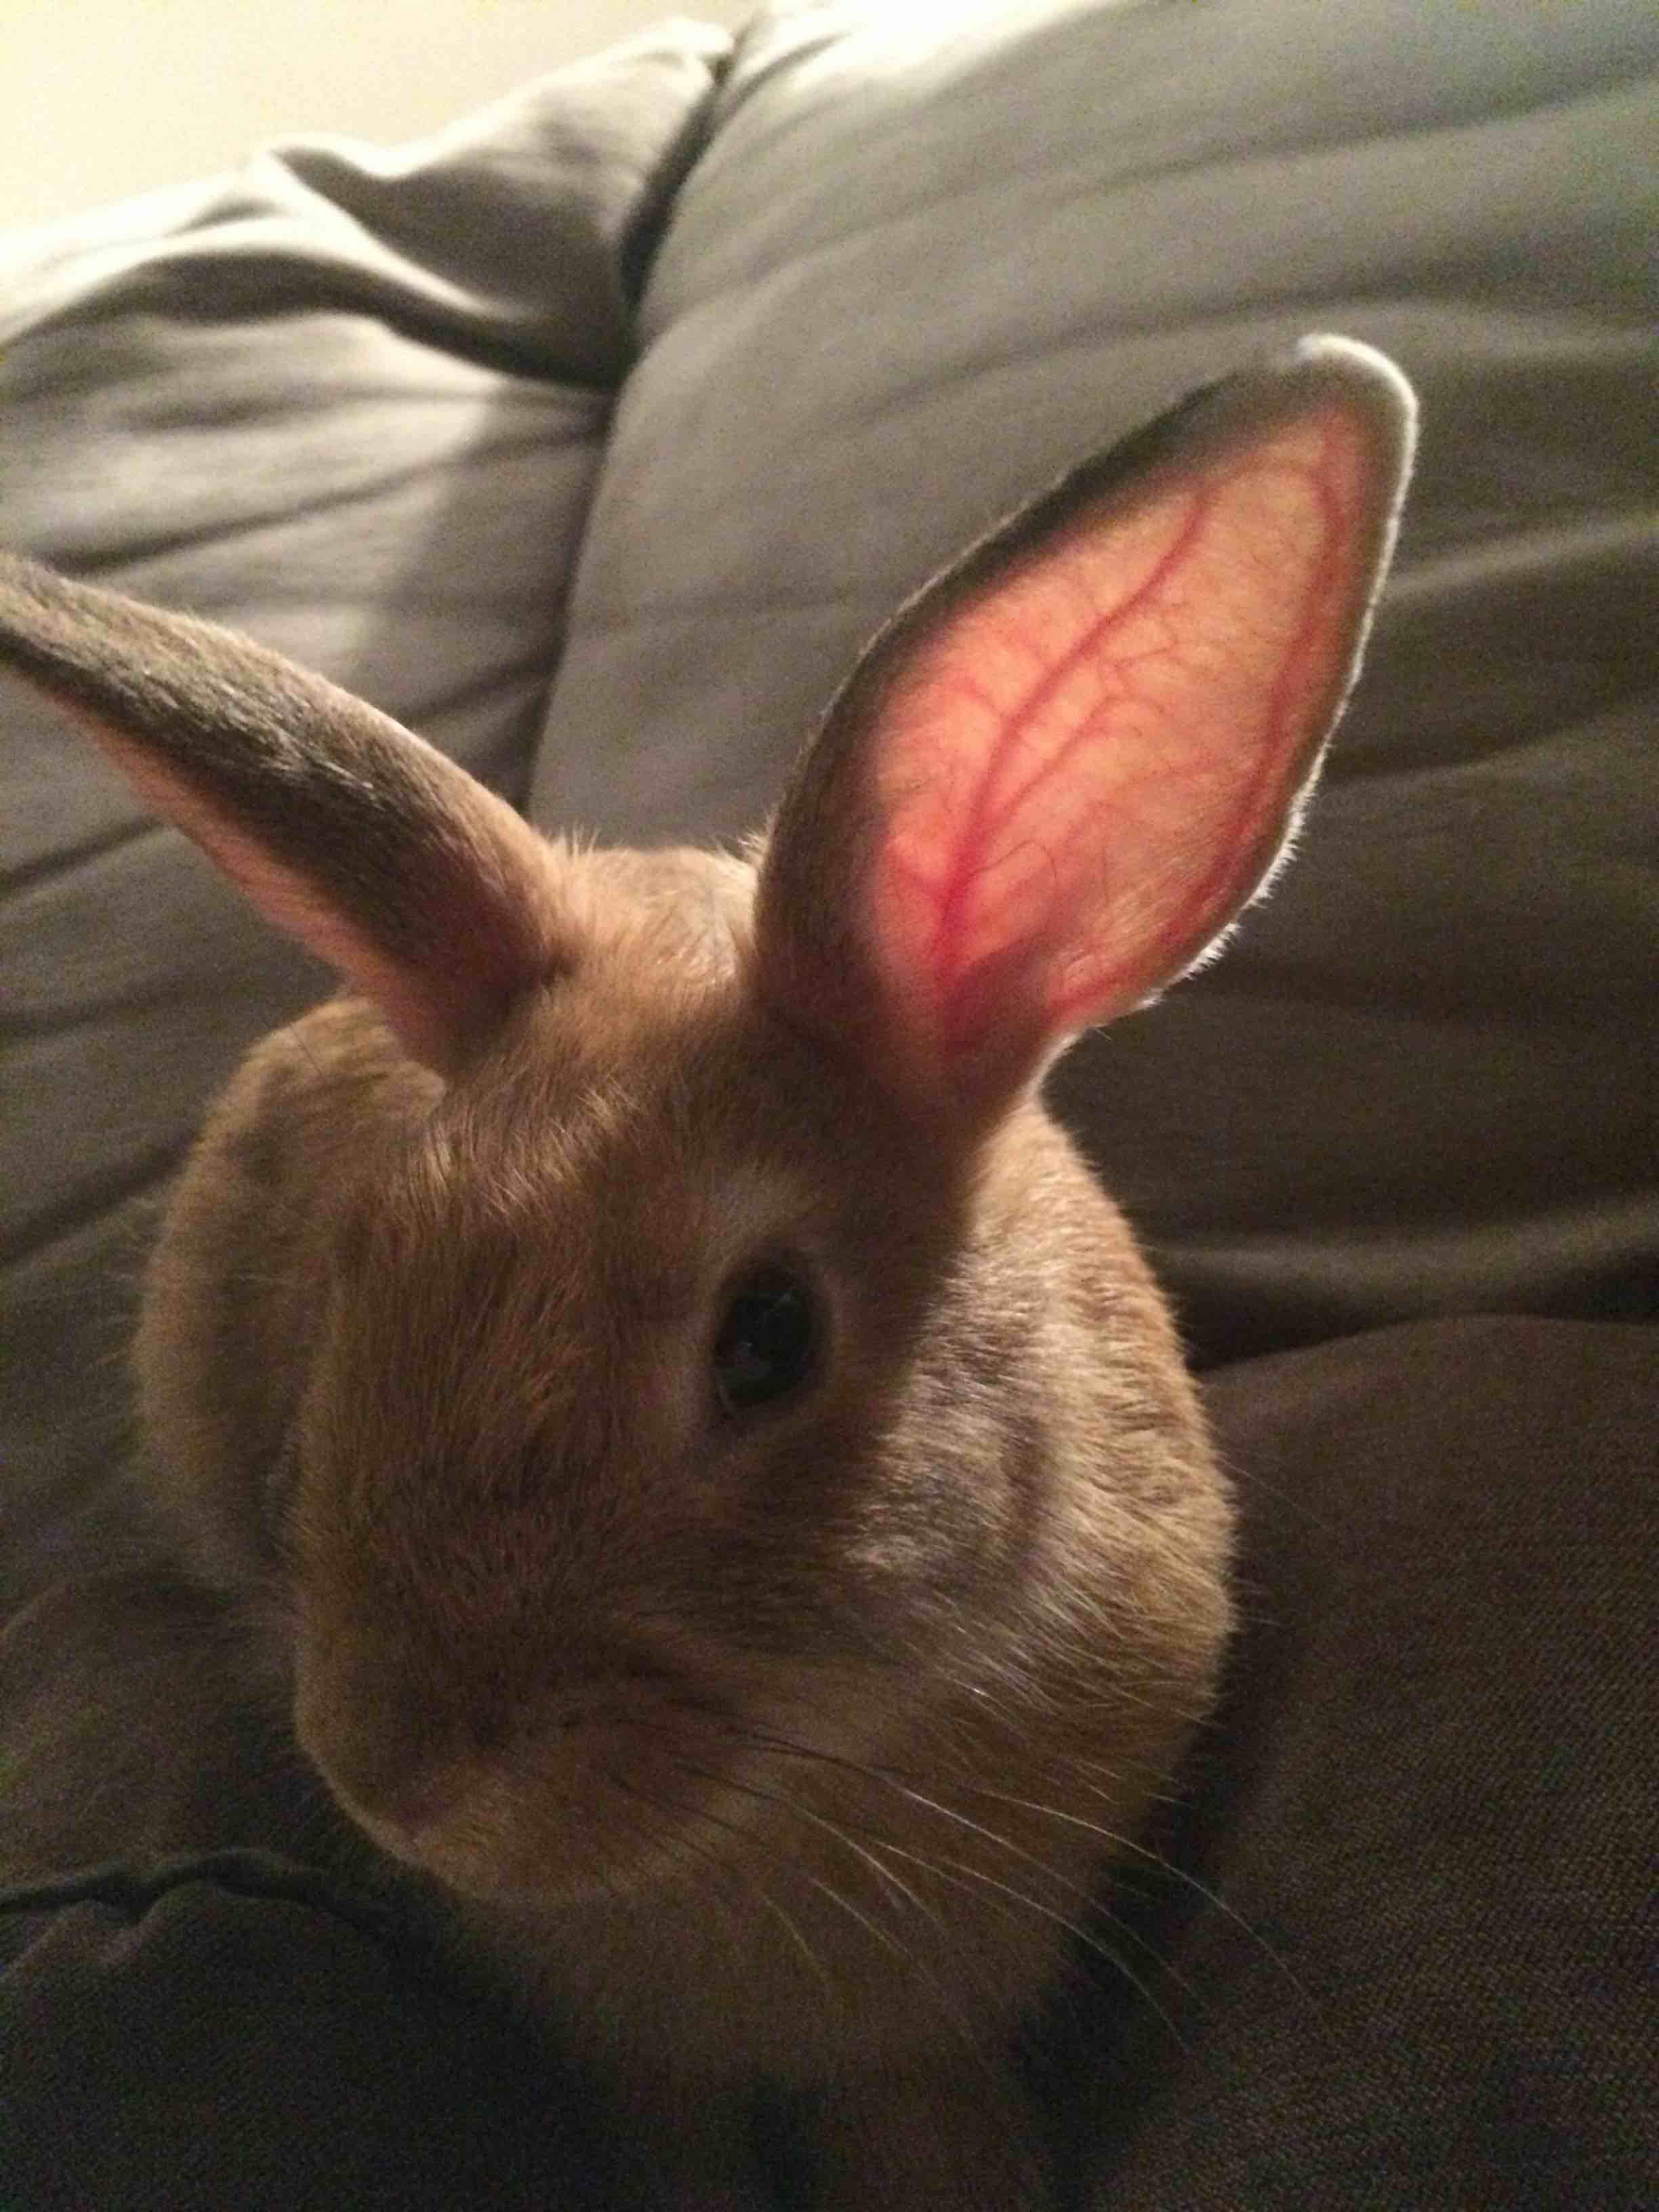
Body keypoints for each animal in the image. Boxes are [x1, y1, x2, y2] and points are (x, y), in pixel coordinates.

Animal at [0, 333, 1413, 2209]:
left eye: (768, 1338)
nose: (389, 1774)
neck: (819, 1766)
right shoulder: (637, 2058)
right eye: (361, 1269)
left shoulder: (920, 2033)